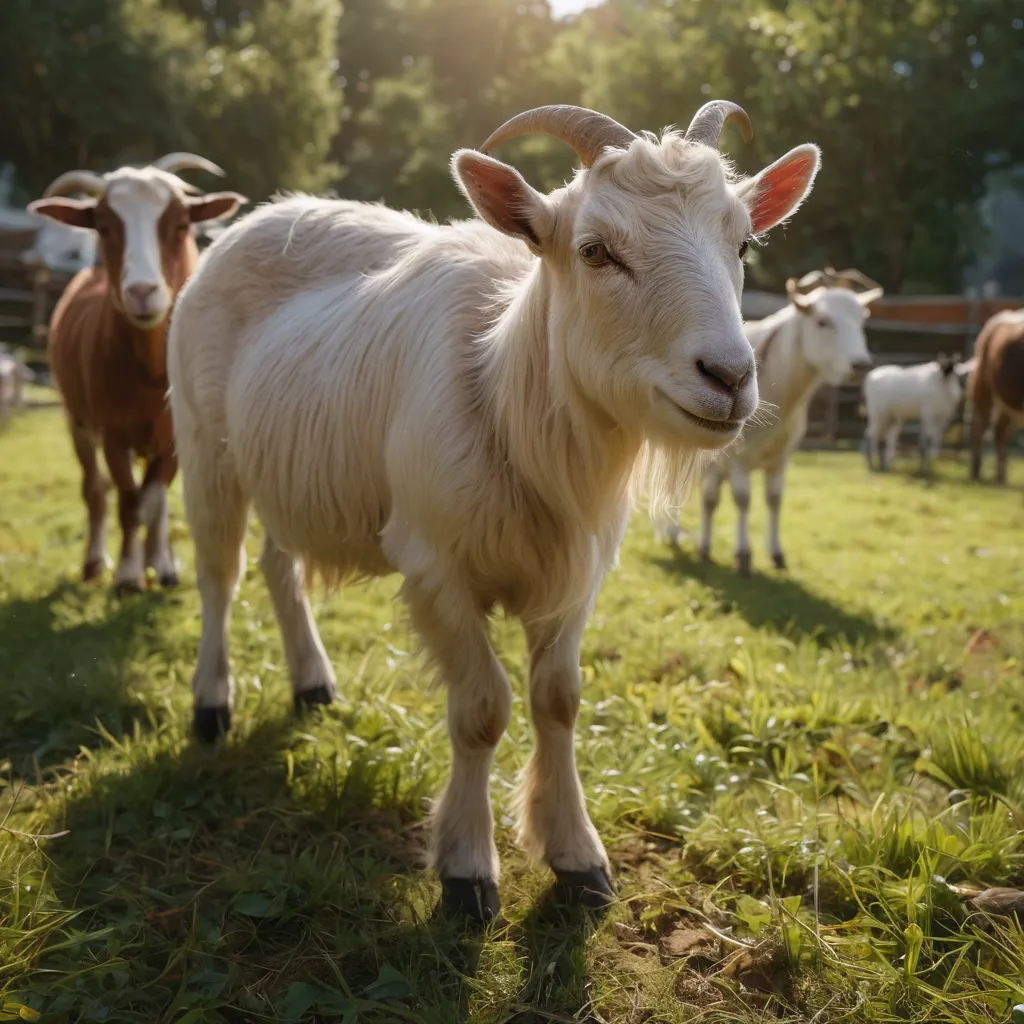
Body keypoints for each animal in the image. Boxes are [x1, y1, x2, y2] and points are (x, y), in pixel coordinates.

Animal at [28, 155, 244, 590]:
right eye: (104, 227)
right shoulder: (113, 433)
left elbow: (155, 501)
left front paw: (161, 563)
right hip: (77, 420)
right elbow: (128, 500)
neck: (151, 372)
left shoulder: (176, 434)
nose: (142, 292)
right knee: (95, 490)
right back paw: (95, 562)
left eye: (181, 224)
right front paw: (128, 573)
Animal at [167, 102, 820, 922]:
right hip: (205, 448)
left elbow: (559, 700)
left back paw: (313, 684)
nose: (729, 376)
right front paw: (468, 871)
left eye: (742, 243)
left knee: (279, 564)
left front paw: (577, 857)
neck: (506, 392)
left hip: (288, 464)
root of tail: (260, 217)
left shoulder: (578, 574)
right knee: (219, 576)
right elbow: (481, 709)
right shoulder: (434, 565)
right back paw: (211, 705)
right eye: (596, 250)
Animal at [665, 268, 882, 574]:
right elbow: (743, 500)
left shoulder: (781, 458)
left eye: (862, 320)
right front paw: (743, 555)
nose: (860, 365)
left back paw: (702, 547)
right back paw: (673, 535)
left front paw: (777, 554)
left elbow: (774, 499)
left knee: (707, 498)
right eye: (822, 321)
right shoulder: (737, 459)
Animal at [968, 308, 1024, 484]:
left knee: (999, 432)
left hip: (1010, 406)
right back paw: (975, 473)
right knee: (979, 428)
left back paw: (1001, 477)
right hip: (982, 388)